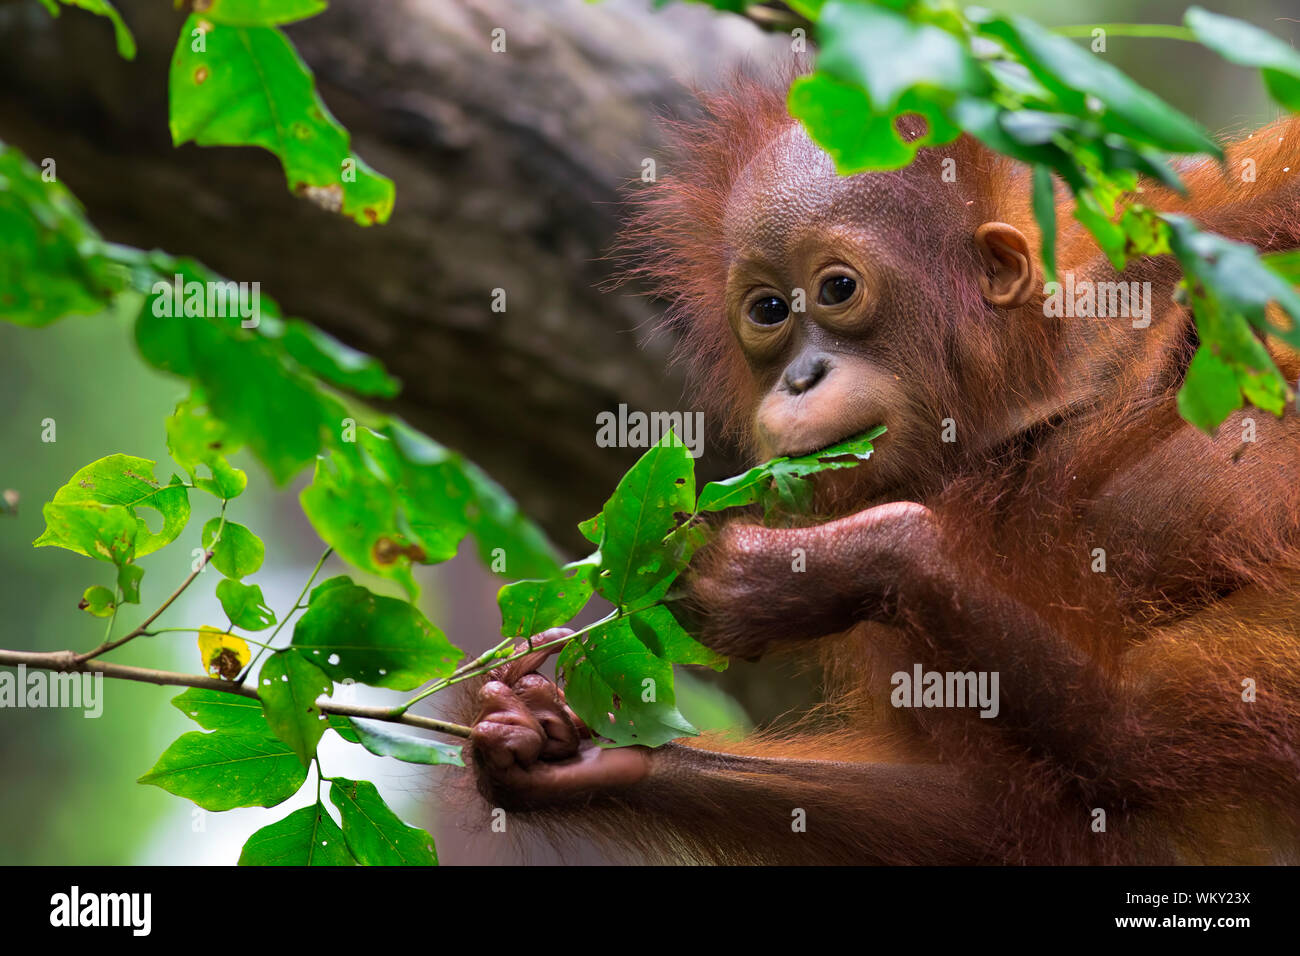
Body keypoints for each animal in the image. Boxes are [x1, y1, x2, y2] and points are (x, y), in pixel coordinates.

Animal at [466, 74, 1300, 865]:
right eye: (768, 310)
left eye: (837, 289)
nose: (801, 378)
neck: (1026, 401)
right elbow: (979, 810)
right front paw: (571, 750)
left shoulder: (1209, 229)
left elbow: (1161, 725)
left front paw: (807, 570)